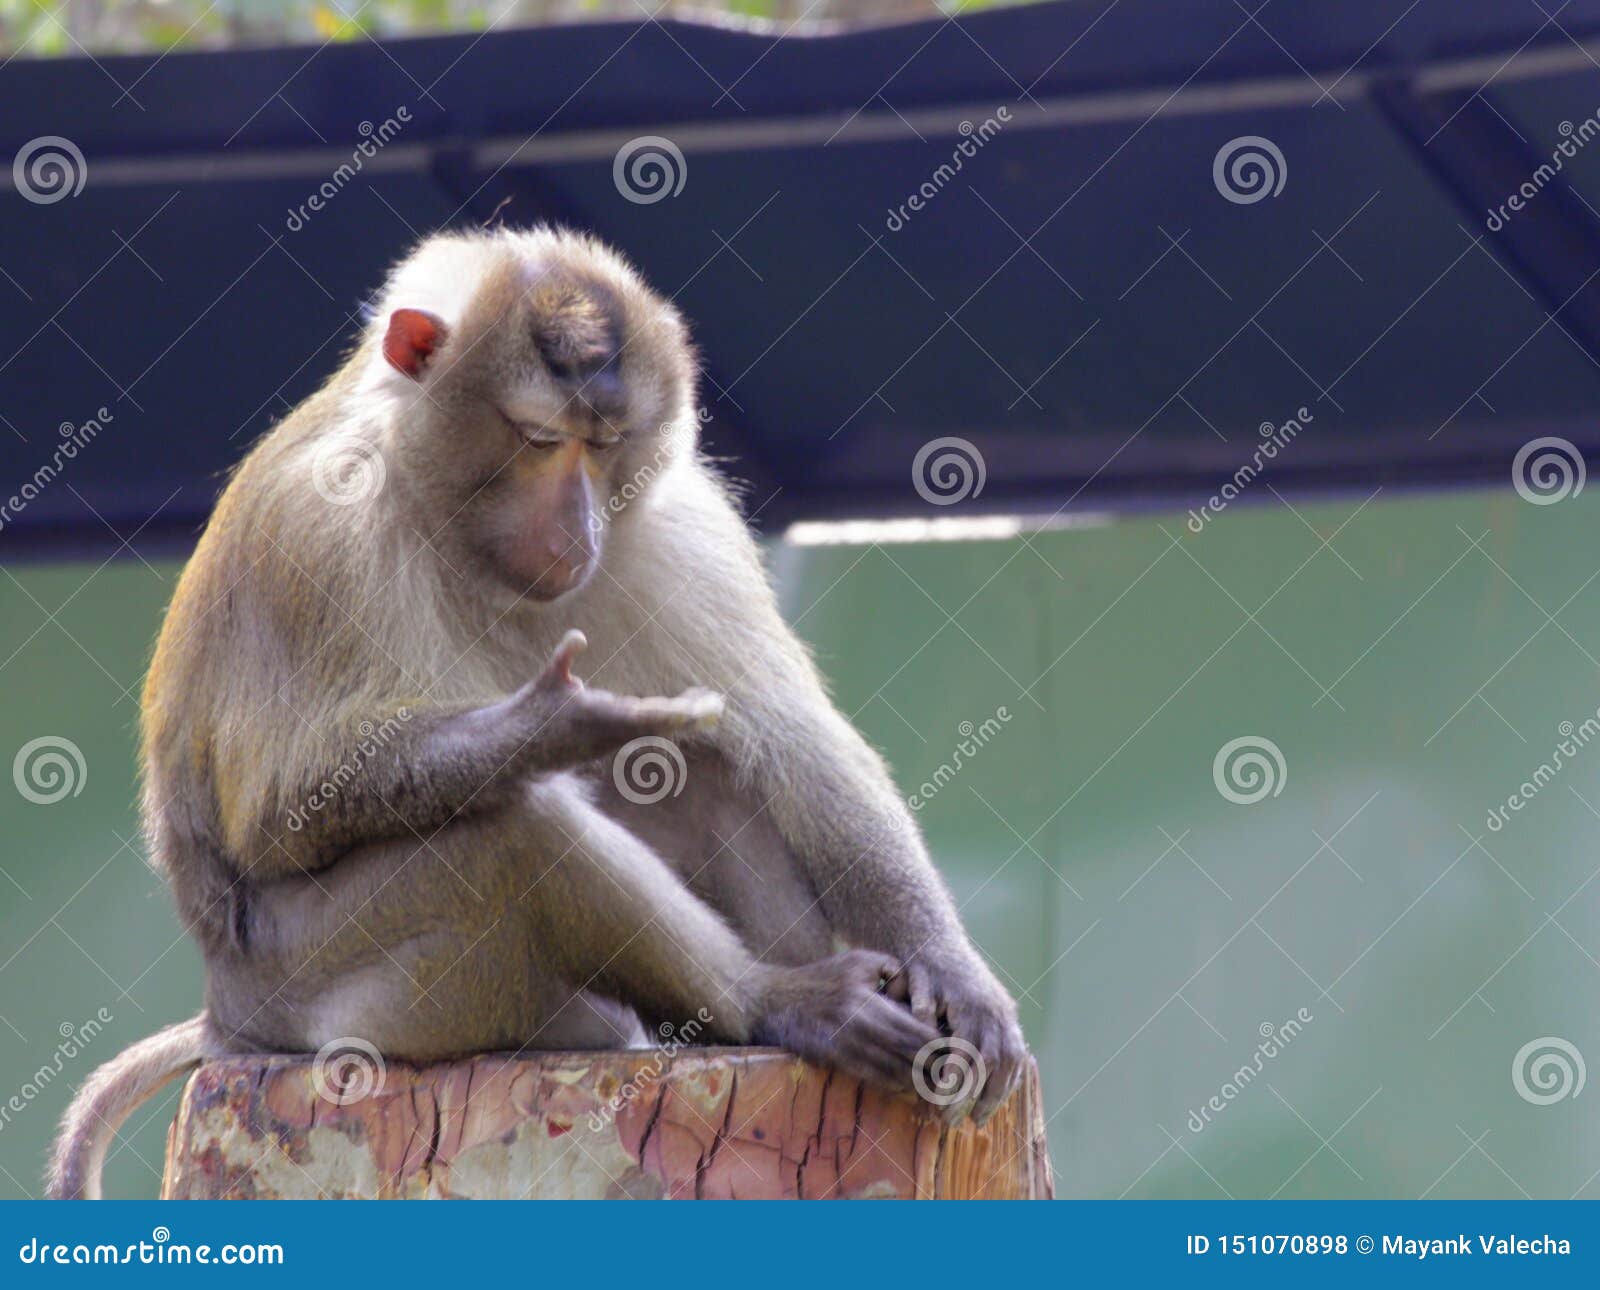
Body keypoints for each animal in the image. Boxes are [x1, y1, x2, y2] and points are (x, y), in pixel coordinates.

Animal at [47, 227, 1025, 1199]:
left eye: (606, 445)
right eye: (540, 438)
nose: (579, 531)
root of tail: (228, 1018)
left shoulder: (679, 522)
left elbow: (788, 737)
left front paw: (954, 971)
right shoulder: (320, 528)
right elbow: (281, 806)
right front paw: (559, 722)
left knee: (700, 778)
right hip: (337, 993)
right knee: (513, 835)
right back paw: (777, 1003)